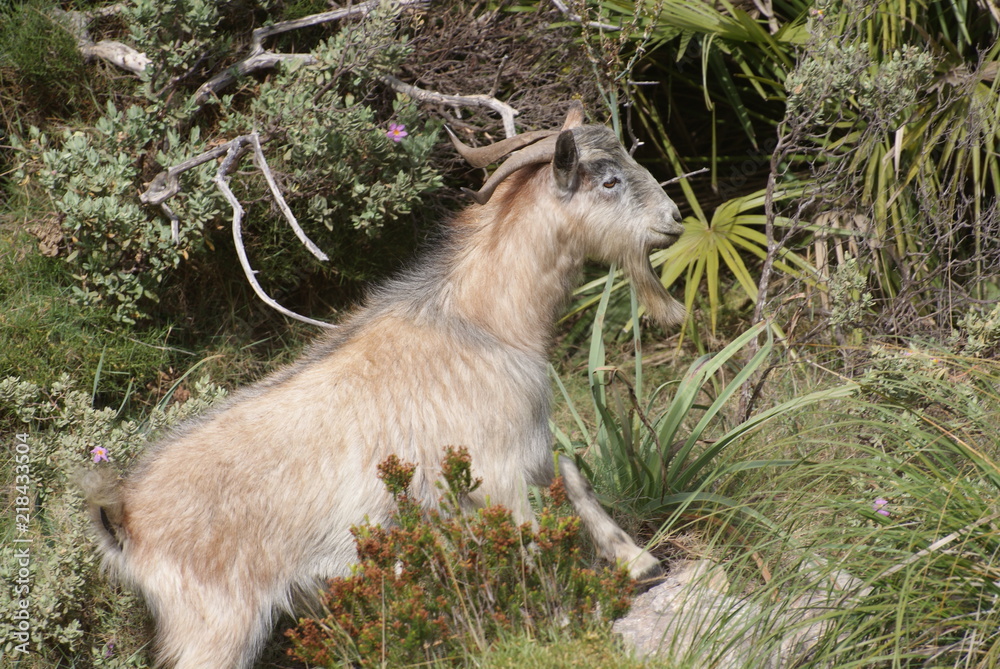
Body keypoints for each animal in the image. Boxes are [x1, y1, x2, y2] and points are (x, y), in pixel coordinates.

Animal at [80, 103, 686, 668]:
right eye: (610, 181)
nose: (675, 219)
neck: (484, 321)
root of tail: (126, 518)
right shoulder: (497, 470)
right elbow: (532, 539)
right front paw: (560, 621)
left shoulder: (525, 451)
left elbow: (572, 474)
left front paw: (640, 562)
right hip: (217, 628)